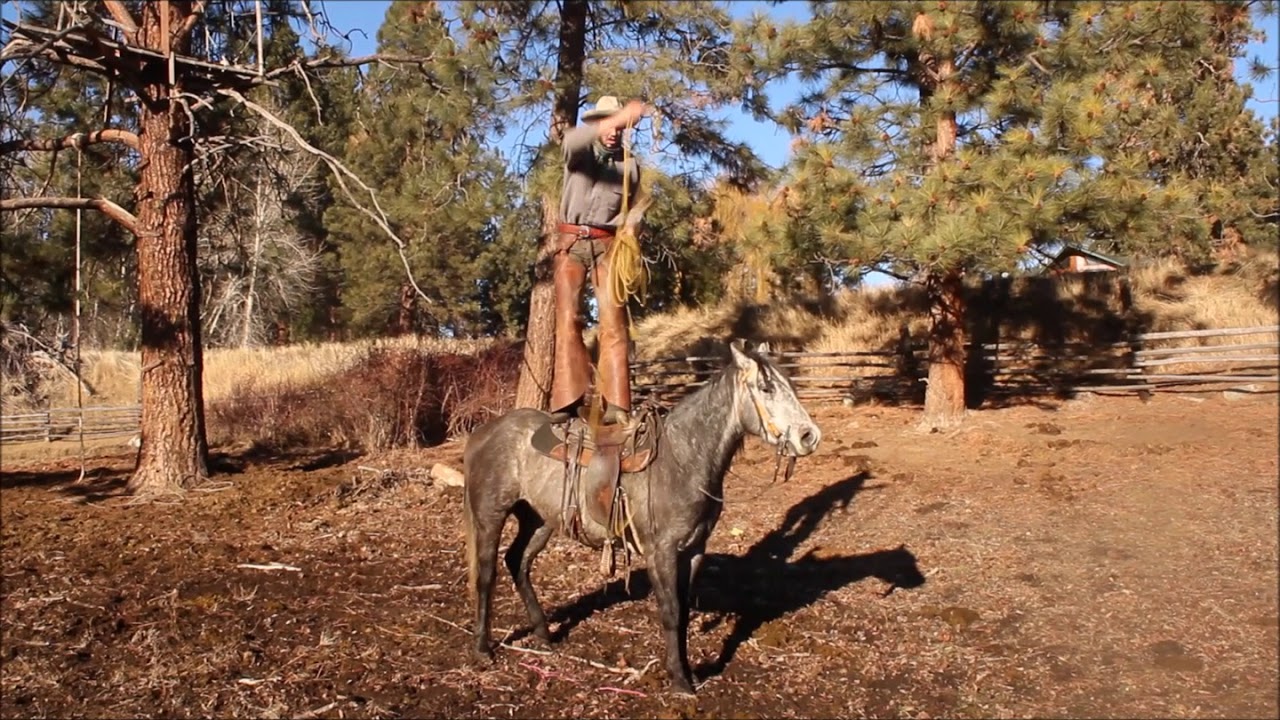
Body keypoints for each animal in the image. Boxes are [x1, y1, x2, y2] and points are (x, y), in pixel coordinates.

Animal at [461, 340, 822, 695]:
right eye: (765, 388)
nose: (808, 436)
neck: (682, 460)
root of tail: (484, 432)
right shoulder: (660, 552)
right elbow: (671, 612)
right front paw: (680, 682)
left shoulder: (694, 550)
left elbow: (683, 611)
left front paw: (687, 672)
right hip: (490, 517)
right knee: (487, 575)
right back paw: (482, 649)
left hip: (538, 520)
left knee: (518, 561)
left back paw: (543, 635)